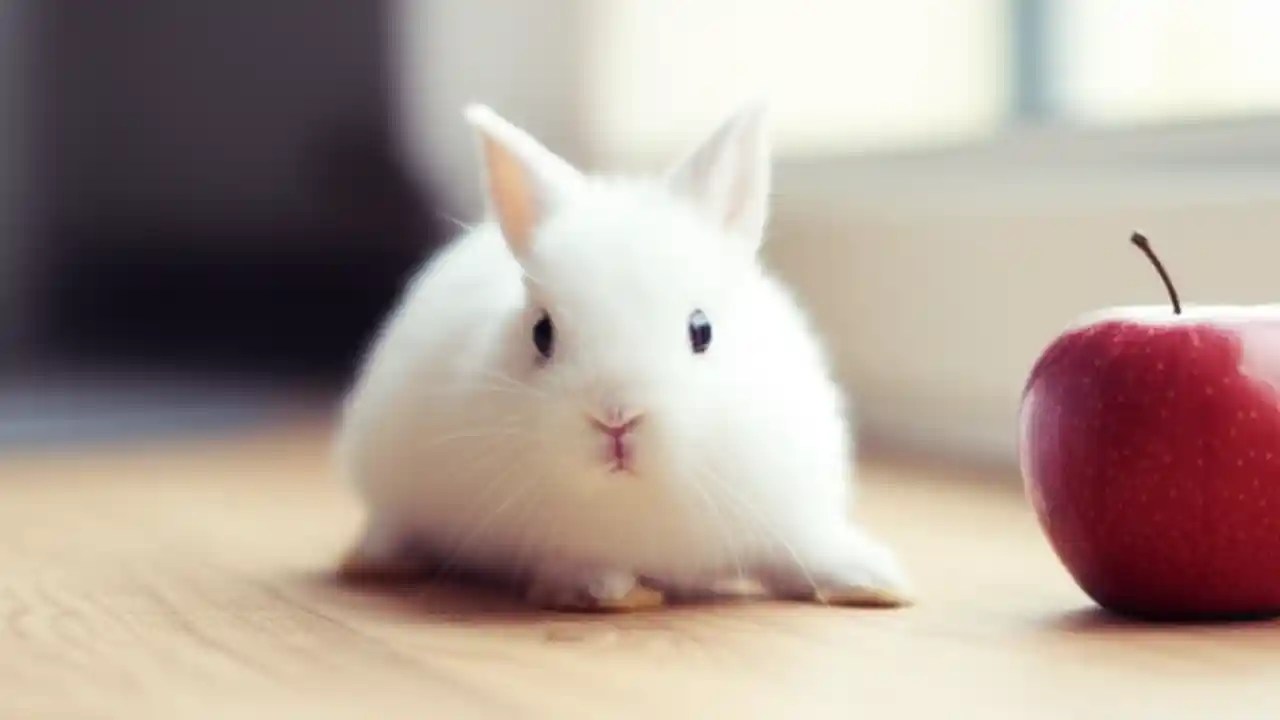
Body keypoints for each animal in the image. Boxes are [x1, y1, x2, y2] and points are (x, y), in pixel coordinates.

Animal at [334, 102, 912, 612]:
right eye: (541, 333)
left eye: (701, 329)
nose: (616, 417)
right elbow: (581, 567)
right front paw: (608, 593)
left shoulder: (787, 515)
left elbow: (806, 553)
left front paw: (873, 580)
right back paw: (376, 561)